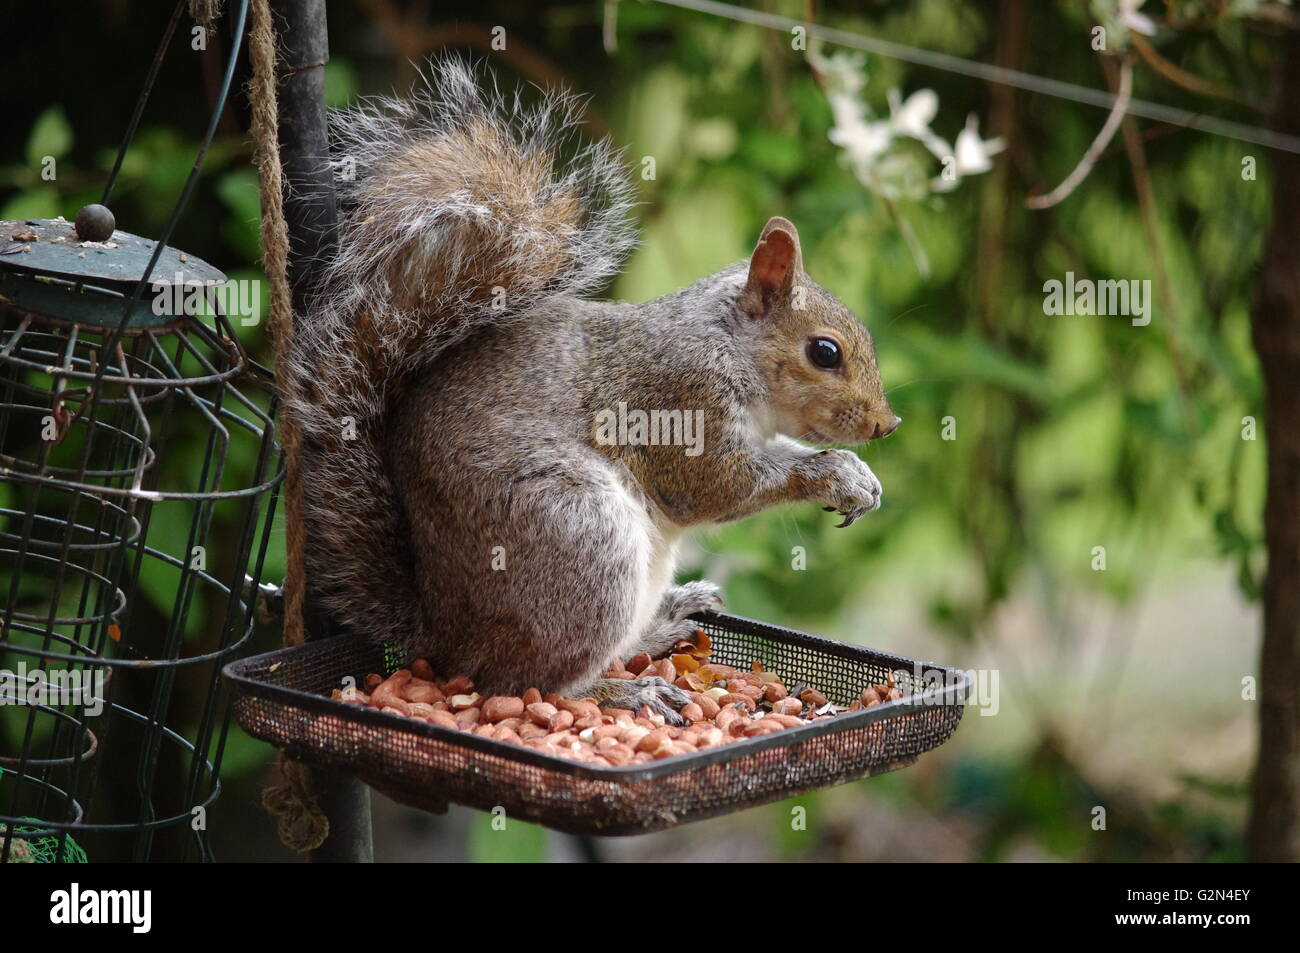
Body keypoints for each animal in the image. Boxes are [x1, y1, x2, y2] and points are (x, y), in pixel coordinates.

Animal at [288, 59, 900, 724]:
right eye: (825, 352)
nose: (885, 425)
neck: (726, 345)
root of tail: (444, 632)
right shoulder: (677, 399)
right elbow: (717, 486)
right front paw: (834, 474)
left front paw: (860, 475)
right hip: (580, 538)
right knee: (529, 681)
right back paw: (624, 691)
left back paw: (669, 623)